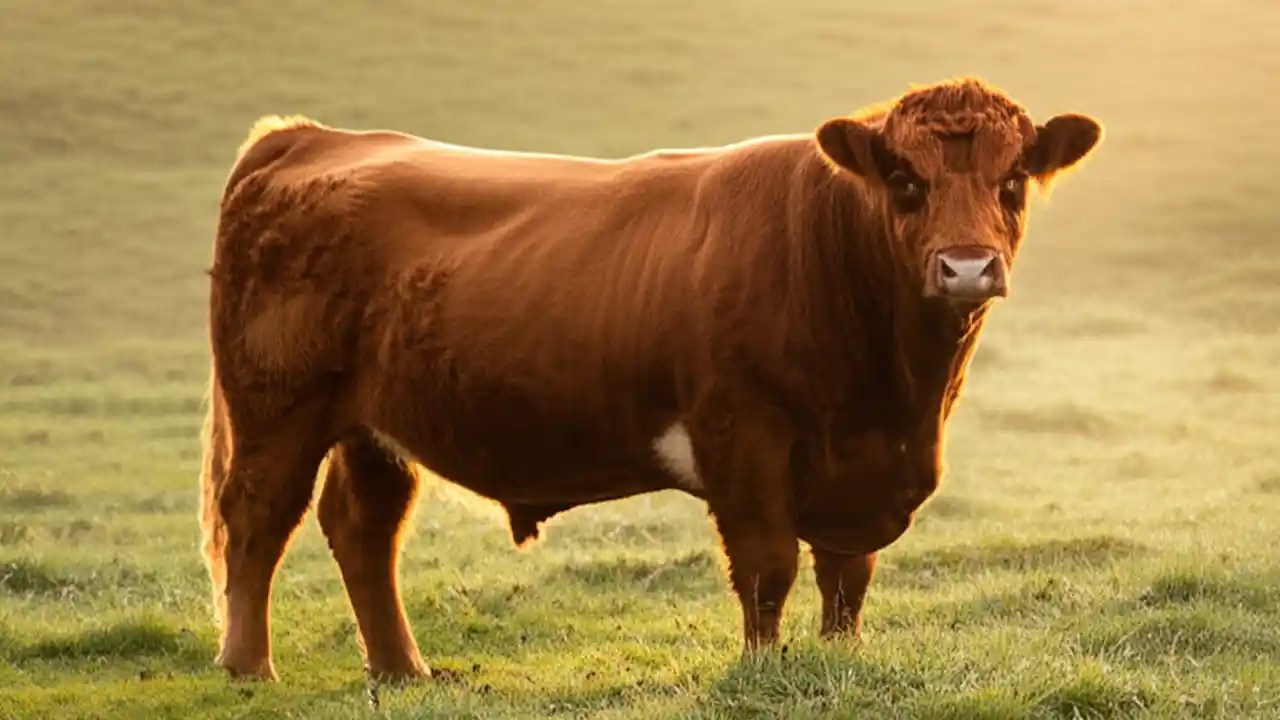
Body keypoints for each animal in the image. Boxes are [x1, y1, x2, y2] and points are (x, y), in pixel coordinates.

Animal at [200, 77, 1101, 681]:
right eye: (907, 182)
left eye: (1012, 182)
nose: (967, 267)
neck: (891, 394)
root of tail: (313, 136)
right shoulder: (742, 435)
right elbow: (768, 564)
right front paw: (764, 669)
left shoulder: (864, 469)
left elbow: (848, 575)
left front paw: (838, 658)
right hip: (277, 406)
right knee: (257, 519)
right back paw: (249, 667)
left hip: (374, 425)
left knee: (363, 529)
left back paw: (401, 670)